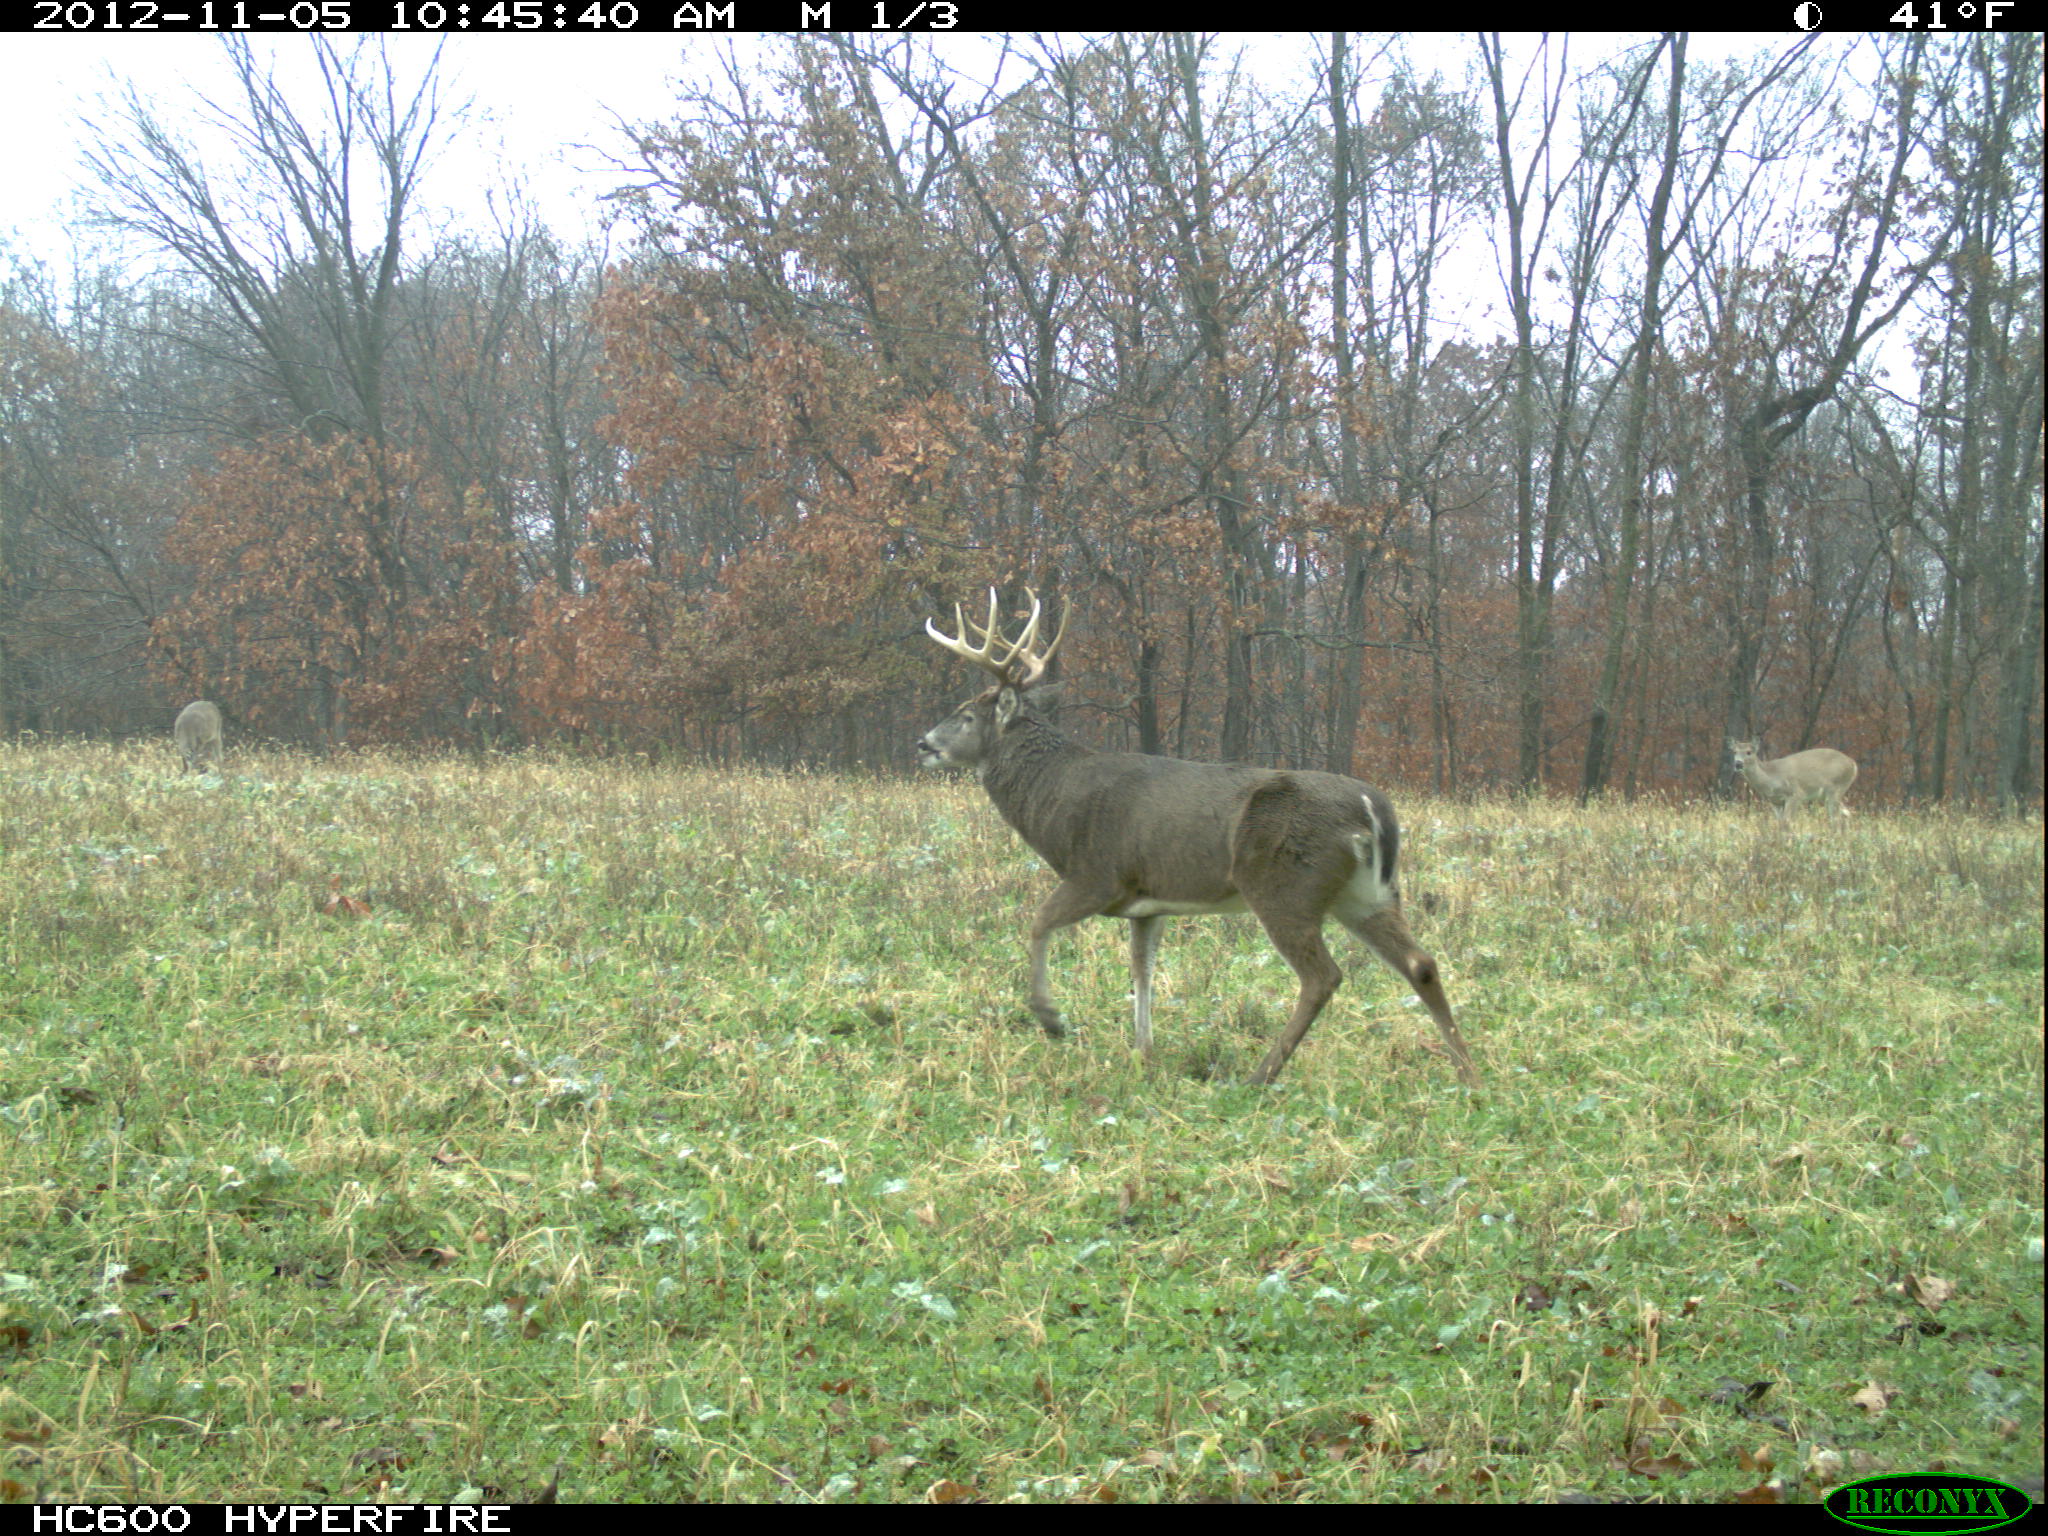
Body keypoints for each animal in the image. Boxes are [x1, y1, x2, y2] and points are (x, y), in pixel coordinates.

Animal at [917, 589, 1479, 1089]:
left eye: (967, 714)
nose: (922, 743)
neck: (1053, 799)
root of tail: (1372, 808)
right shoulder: (1148, 903)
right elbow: (1141, 972)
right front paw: (1143, 1055)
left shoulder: (1098, 874)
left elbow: (1037, 922)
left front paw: (1051, 1019)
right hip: (1365, 893)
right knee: (1420, 963)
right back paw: (1468, 1072)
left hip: (1283, 886)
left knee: (1323, 977)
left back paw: (1260, 1075)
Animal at [1727, 737, 1857, 823]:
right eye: (1734, 752)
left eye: (1749, 752)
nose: (1738, 764)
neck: (1771, 779)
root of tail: (1853, 764)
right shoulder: (1775, 802)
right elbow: (1780, 823)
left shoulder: (1795, 794)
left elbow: (1788, 821)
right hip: (1830, 794)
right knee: (1846, 813)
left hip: (1836, 789)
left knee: (1836, 819)